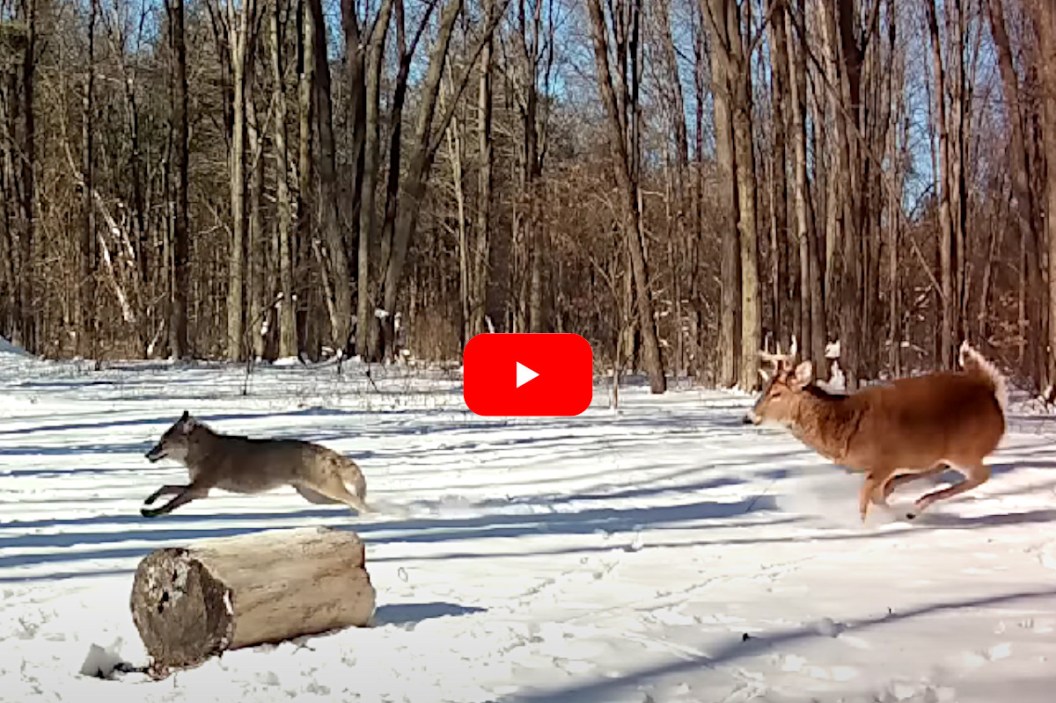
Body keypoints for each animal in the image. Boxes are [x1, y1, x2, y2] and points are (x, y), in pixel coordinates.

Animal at [743, 339, 1008, 522]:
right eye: (765, 388)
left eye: (777, 393)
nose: (749, 417)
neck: (843, 425)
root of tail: (989, 391)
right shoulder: (886, 465)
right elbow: (875, 495)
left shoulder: (885, 460)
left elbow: (866, 497)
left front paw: (866, 525)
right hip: (937, 453)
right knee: (935, 469)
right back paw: (911, 506)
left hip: (965, 448)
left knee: (980, 476)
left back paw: (917, 507)